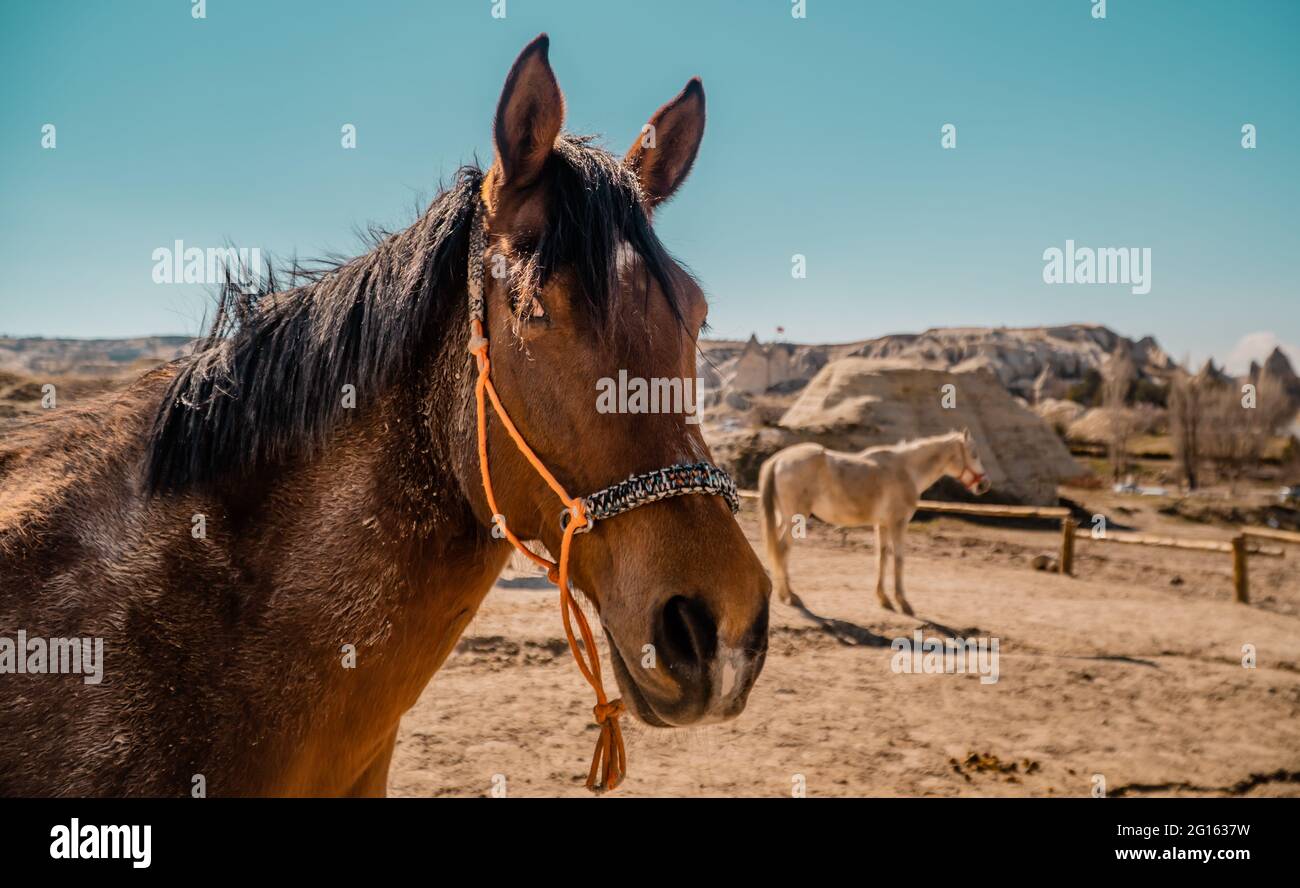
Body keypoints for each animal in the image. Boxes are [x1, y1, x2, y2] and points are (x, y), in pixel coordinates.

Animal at [758, 429, 991, 616]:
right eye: (974, 453)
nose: (984, 485)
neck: (906, 470)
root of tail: (779, 460)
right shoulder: (898, 524)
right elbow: (898, 559)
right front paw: (903, 603)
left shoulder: (883, 525)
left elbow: (882, 557)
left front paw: (884, 599)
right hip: (795, 519)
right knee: (783, 549)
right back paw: (790, 596)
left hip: (783, 519)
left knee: (778, 549)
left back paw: (785, 594)